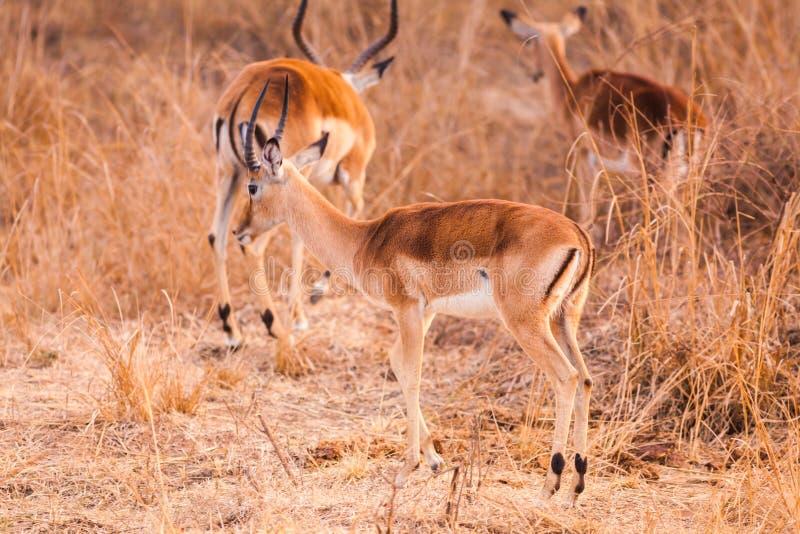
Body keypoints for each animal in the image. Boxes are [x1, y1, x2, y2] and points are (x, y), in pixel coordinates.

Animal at [209, 0, 397, 348]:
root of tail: (242, 93)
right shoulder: (352, 176)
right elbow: (336, 220)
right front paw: (309, 303)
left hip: (228, 173)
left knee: (217, 235)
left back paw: (232, 331)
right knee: (253, 244)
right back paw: (275, 325)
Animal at [233, 78, 597, 506]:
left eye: (252, 185)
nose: (239, 230)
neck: (363, 239)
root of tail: (577, 235)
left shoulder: (406, 309)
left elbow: (413, 375)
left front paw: (407, 469)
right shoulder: (426, 312)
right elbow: (399, 366)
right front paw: (435, 460)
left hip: (526, 323)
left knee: (565, 378)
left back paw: (550, 484)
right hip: (563, 319)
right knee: (585, 379)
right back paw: (576, 486)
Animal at [500, 6, 707, 228]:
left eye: (528, 40)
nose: (532, 72)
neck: (570, 92)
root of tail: (687, 119)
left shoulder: (583, 157)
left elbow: (586, 215)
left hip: (655, 178)